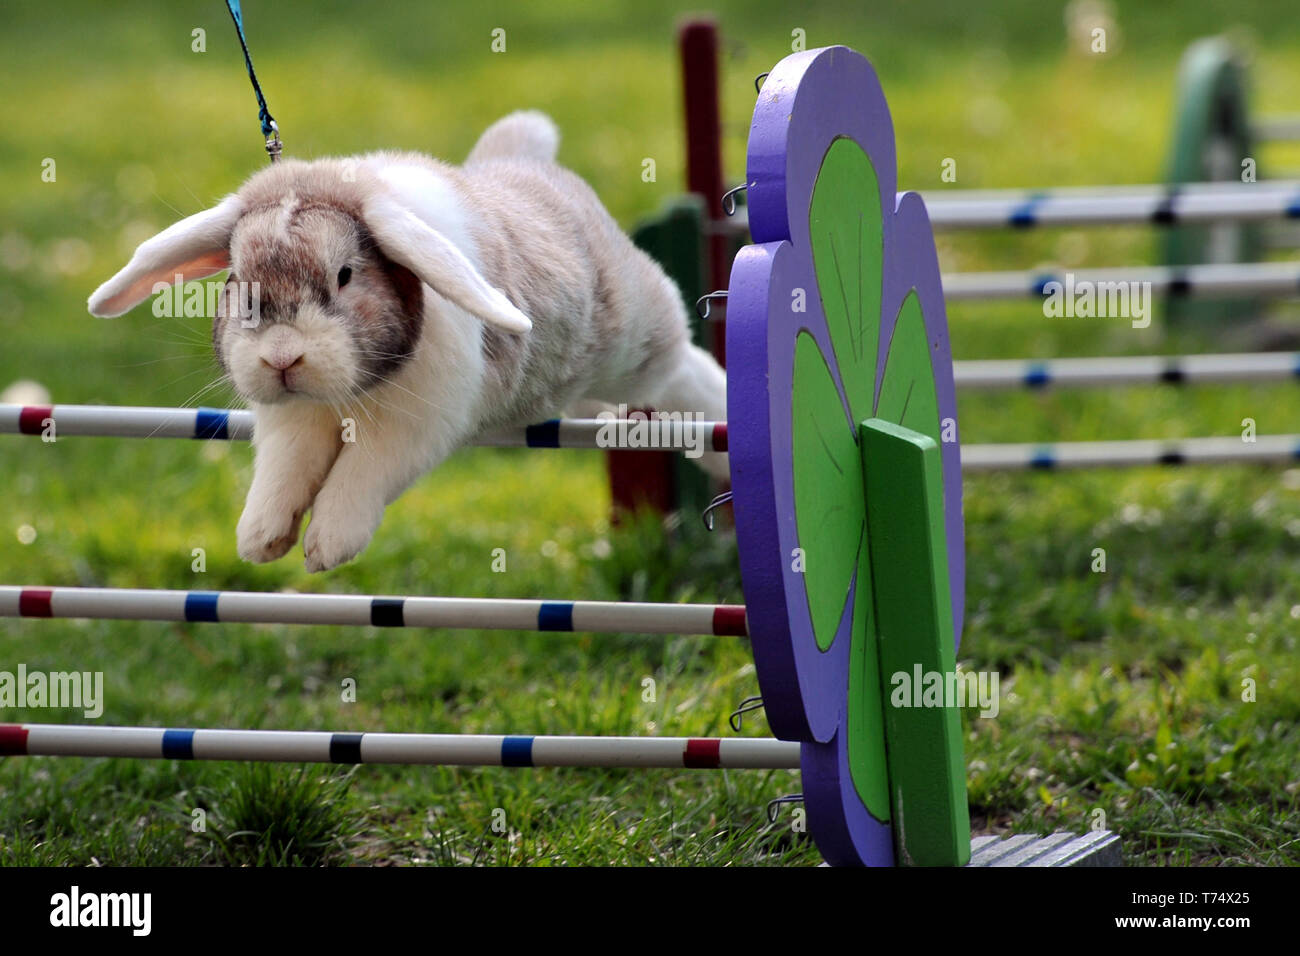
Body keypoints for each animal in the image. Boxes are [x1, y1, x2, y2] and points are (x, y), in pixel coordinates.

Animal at [87, 111, 729, 572]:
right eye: (237, 283)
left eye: (345, 275)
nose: (282, 357)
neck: (345, 393)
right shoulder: (292, 425)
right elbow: (283, 474)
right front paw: (260, 539)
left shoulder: (409, 430)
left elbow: (360, 477)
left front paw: (326, 547)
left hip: (640, 344)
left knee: (686, 372)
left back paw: (722, 442)